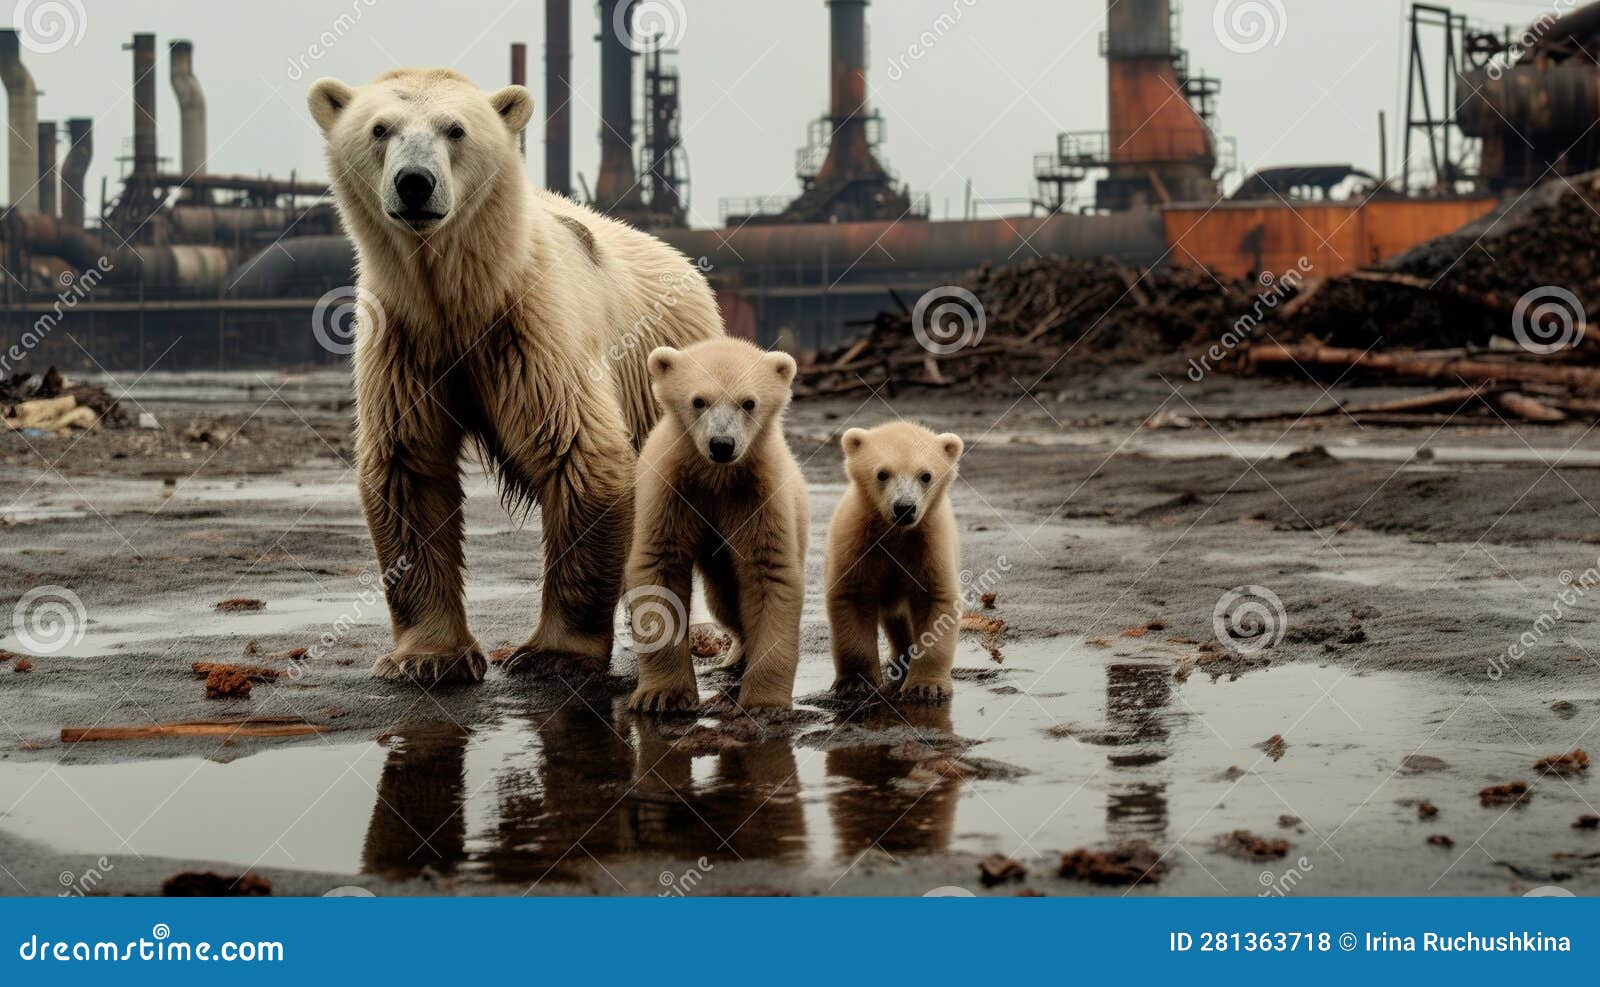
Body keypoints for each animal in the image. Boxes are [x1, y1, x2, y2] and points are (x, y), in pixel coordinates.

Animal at [307, 68, 723, 685]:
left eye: (455, 128)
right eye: (380, 128)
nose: (414, 184)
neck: (462, 297)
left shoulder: (530, 331)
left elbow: (580, 451)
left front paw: (553, 653)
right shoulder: (405, 342)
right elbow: (409, 467)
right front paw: (428, 658)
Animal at [625, 338, 809, 712]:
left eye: (748, 402)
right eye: (699, 400)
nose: (722, 445)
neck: (716, 478)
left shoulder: (758, 496)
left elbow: (769, 572)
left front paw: (763, 702)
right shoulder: (671, 491)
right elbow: (660, 563)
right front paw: (661, 695)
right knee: (725, 598)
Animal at [825, 422, 965, 704]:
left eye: (926, 475)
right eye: (882, 473)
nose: (904, 508)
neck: (893, 534)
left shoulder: (928, 543)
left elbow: (936, 598)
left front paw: (925, 687)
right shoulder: (856, 541)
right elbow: (853, 597)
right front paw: (856, 683)